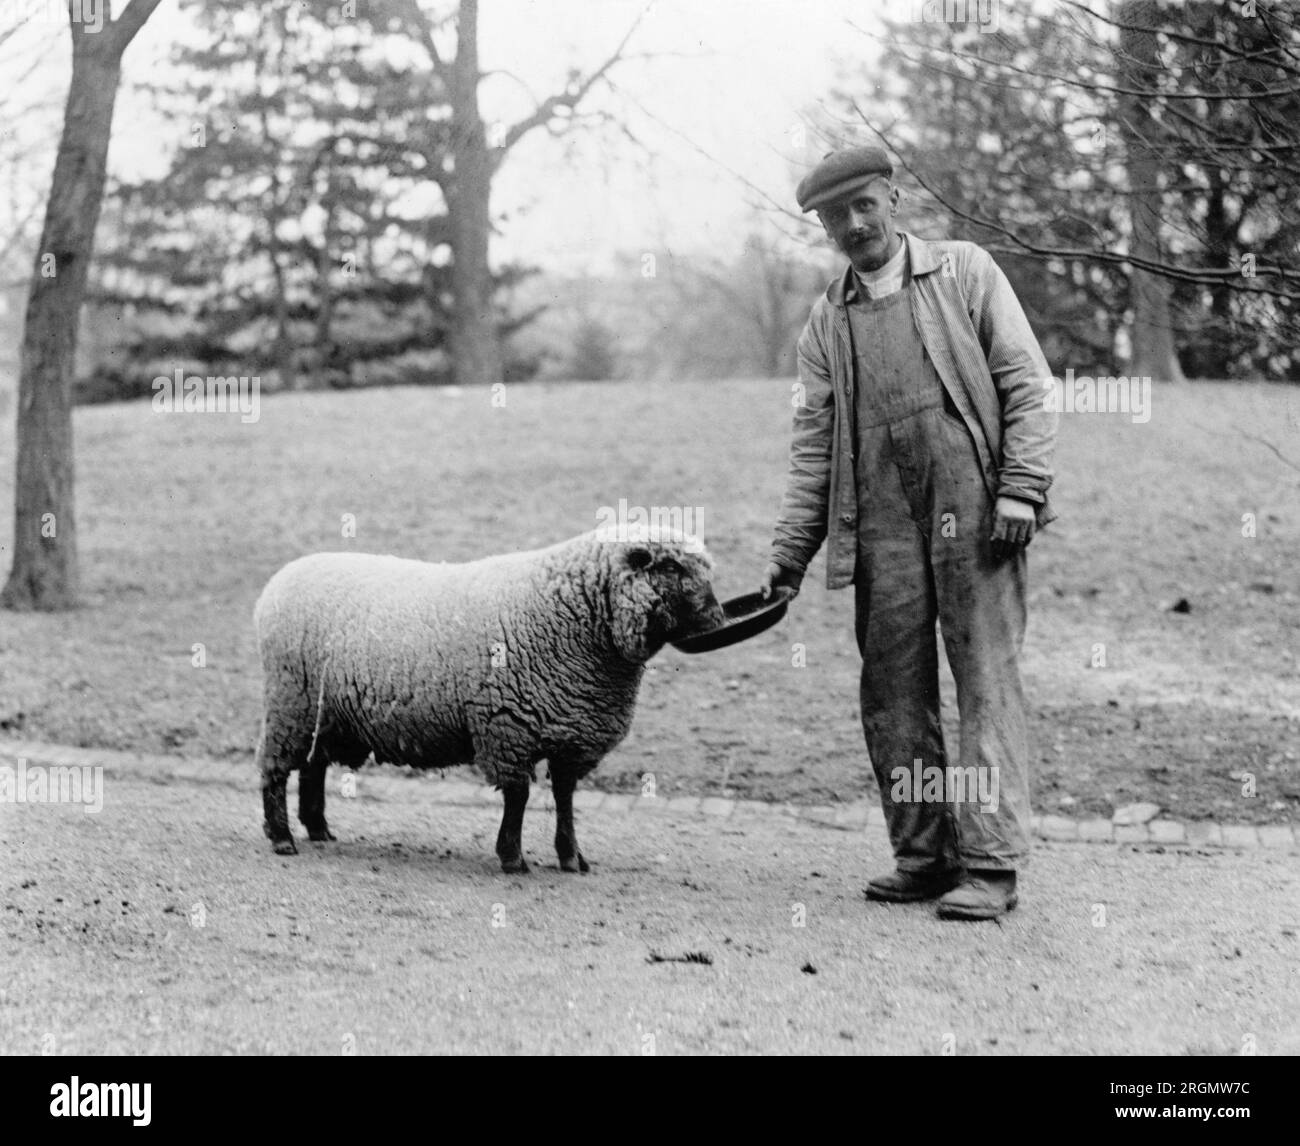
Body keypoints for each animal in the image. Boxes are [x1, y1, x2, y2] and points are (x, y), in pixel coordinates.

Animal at [253, 529, 724, 873]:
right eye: (669, 565)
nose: (718, 619)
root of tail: (280, 579)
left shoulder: (571, 732)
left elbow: (566, 798)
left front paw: (572, 857)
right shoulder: (507, 725)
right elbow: (518, 796)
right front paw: (512, 858)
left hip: (325, 712)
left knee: (312, 766)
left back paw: (318, 829)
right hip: (291, 700)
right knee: (275, 769)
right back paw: (282, 837)